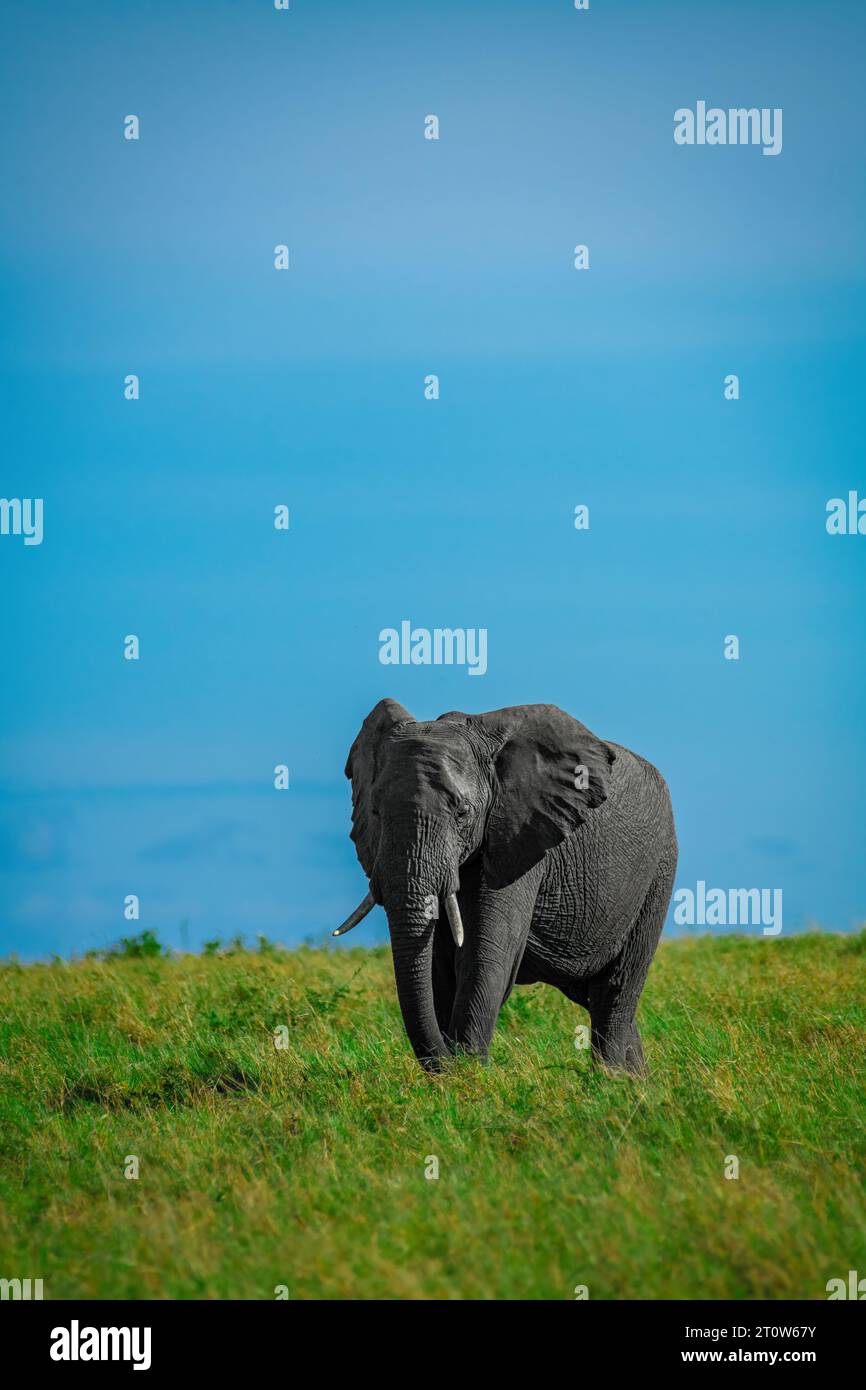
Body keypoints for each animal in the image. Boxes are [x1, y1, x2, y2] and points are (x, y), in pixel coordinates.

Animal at [334, 699, 677, 1074]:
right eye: (375, 812)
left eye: (462, 813)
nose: (447, 1060)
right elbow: (439, 963)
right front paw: (455, 1073)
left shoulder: (520, 836)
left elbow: (486, 952)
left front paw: (468, 1074)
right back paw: (638, 1081)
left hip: (658, 871)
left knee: (615, 993)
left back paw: (611, 1080)